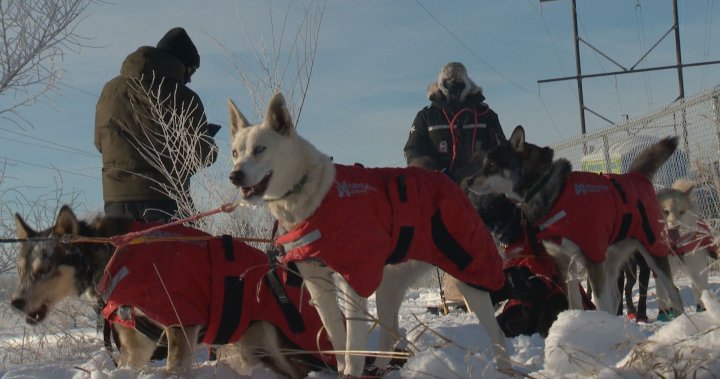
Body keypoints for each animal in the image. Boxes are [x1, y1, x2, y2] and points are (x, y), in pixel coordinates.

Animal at [9, 206, 334, 378]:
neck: (113, 254)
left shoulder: (180, 322)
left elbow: (174, 366)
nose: (15, 302)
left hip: (275, 337)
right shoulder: (135, 341)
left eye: (43, 269)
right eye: (22, 271)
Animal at [228, 92, 510, 378]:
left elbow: (353, 344)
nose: (235, 175)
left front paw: (351, 371)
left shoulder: (355, 279)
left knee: (497, 333)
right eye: (235, 153)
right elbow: (337, 338)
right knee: (389, 335)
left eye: (260, 149)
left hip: (469, 275)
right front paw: (342, 369)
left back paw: (505, 368)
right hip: (389, 287)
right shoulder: (318, 283)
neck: (314, 195)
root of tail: (452, 184)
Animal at [466, 126, 688, 316]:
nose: (467, 181)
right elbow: (574, 303)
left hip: (651, 249)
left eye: (491, 165)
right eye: (484, 164)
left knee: (673, 291)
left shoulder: (591, 259)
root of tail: (635, 176)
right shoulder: (564, 263)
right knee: (616, 296)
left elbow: (599, 302)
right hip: (611, 259)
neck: (546, 190)